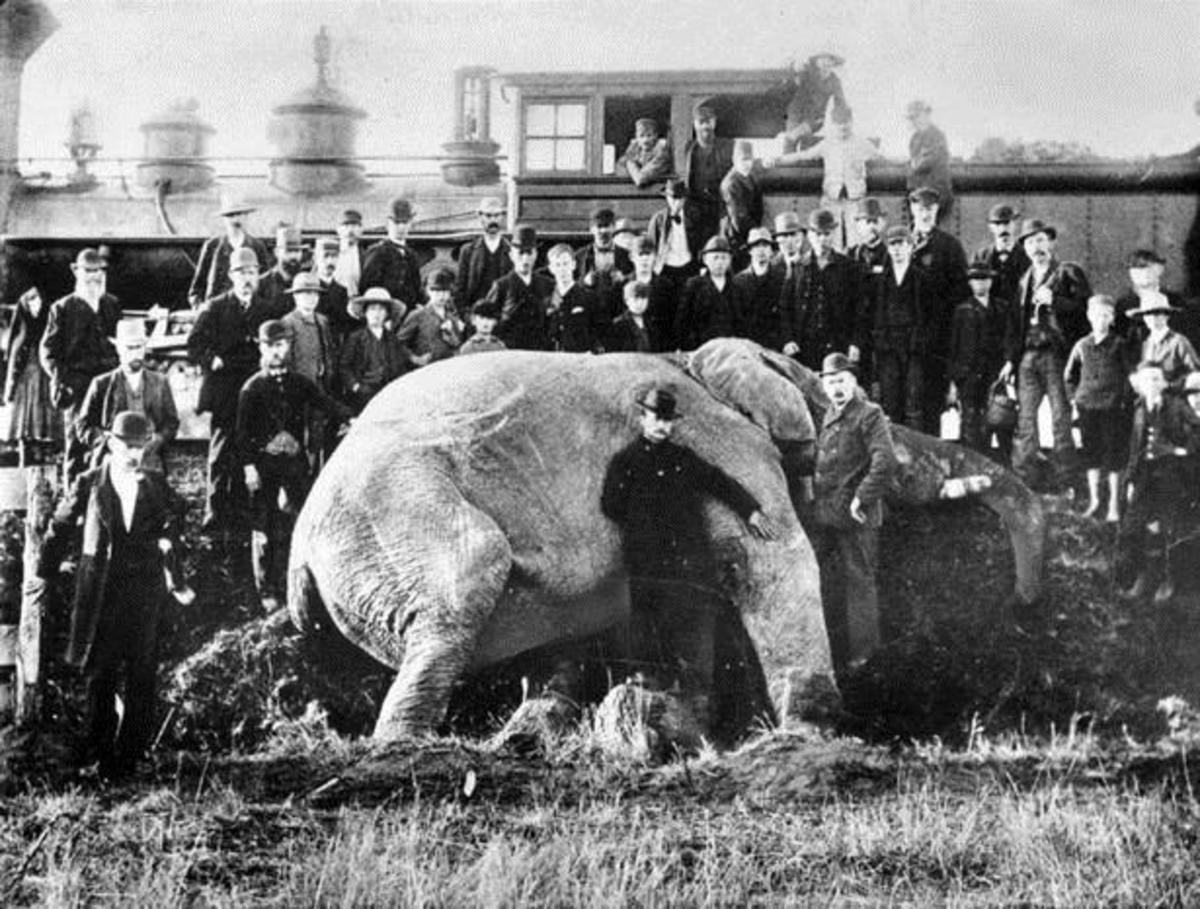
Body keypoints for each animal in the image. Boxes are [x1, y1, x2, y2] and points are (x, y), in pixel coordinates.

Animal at [288, 338, 1045, 742]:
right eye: (839, 416)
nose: (1023, 602)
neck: (701, 360)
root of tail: (298, 547)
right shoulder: (725, 444)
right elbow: (767, 556)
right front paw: (815, 732)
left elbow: (700, 589)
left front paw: (689, 723)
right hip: (402, 517)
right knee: (469, 581)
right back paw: (408, 751)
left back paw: (529, 734)